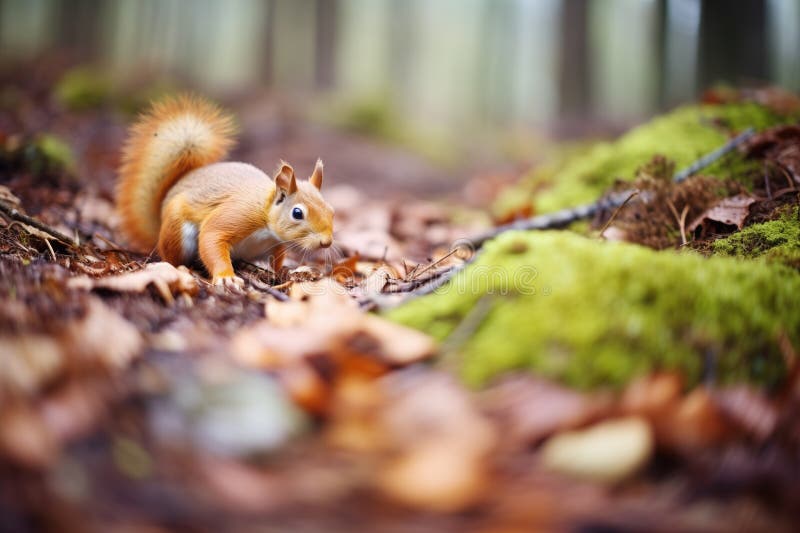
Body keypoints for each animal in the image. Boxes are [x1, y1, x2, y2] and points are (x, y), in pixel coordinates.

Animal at [116, 94, 334, 288]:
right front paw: (226, 277)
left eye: (331, 211)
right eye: (297, 213)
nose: (327, 242)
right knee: (171, 257)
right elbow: (212, 237)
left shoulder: (276, 244)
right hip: (176, 228)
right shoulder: (240, 214)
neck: (266, 217)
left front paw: (286, 271)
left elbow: (278, 259)